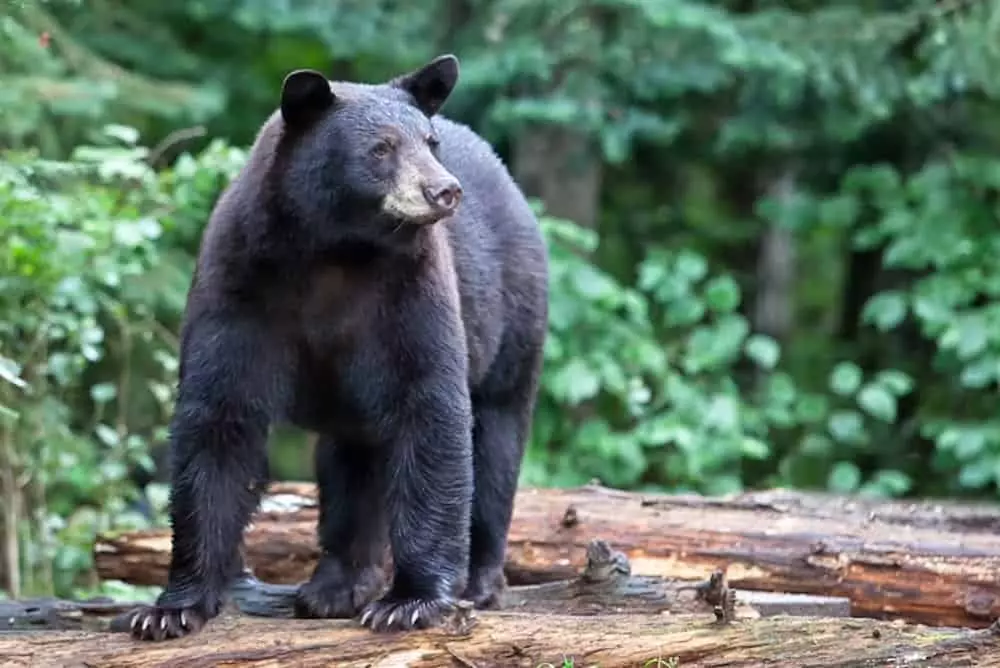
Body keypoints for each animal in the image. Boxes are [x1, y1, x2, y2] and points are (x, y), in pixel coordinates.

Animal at [125, 53, 550, 641]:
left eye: (430, 141)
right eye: (381, 148)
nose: (444, 190)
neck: (335, 250)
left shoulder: (410, 294)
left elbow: (430, 411)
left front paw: (411, 601)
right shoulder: (238, 285)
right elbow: (218, 419)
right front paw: (171, 607)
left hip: (513, 319)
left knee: (496, 441)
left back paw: (477, 581)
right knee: (352, 462)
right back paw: (336, 585)